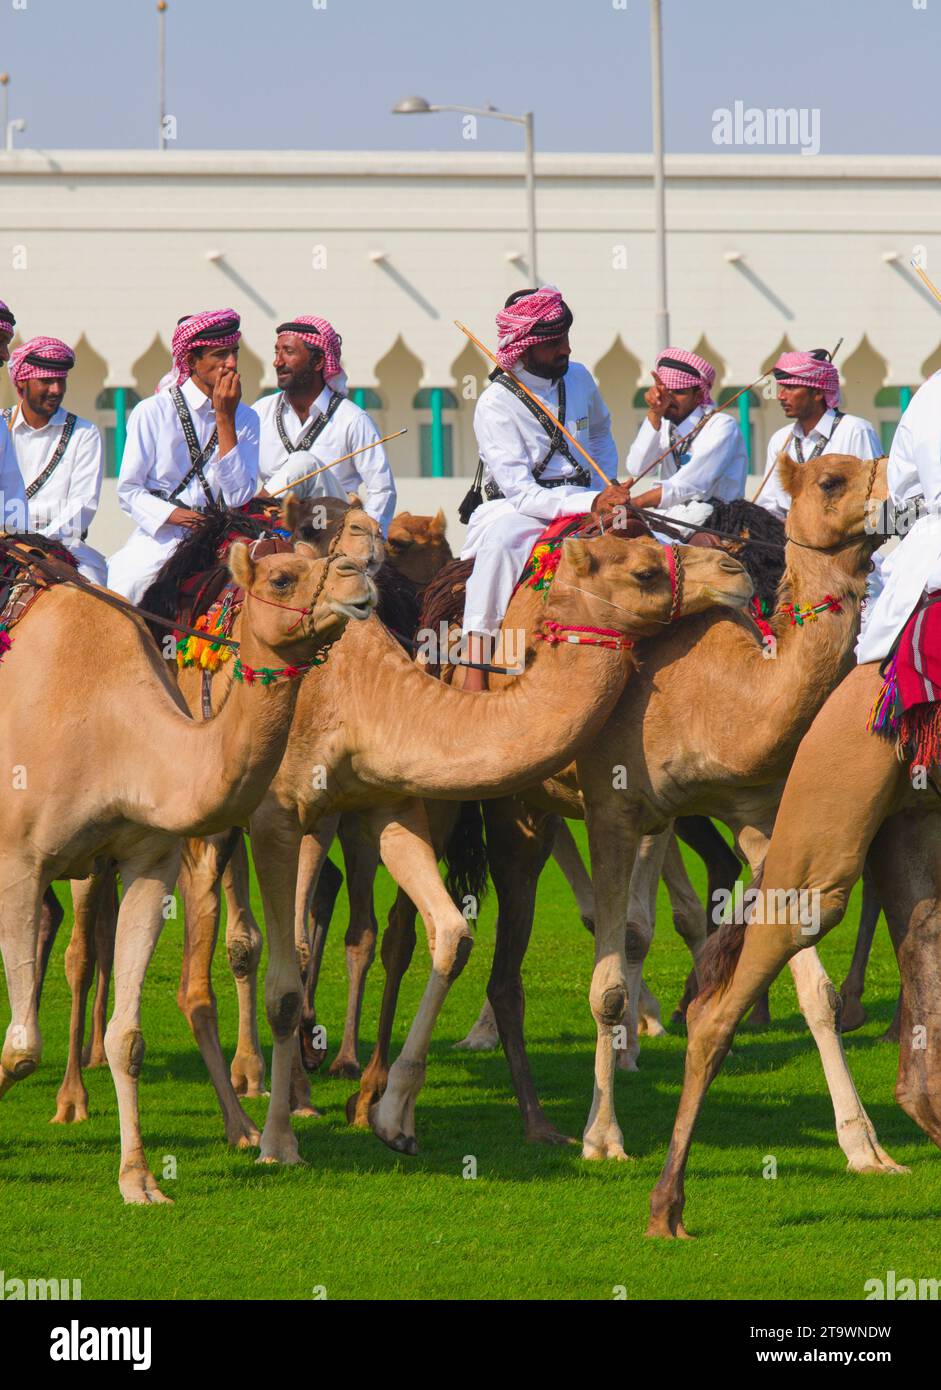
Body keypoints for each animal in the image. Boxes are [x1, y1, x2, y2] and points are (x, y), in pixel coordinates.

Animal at [0, 537, 376, 1200]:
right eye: (282, 578)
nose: (361, 575)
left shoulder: (149, 858)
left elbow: (128, 1039)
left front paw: (139, 1180)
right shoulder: (19, 862)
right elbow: (21, 1049)